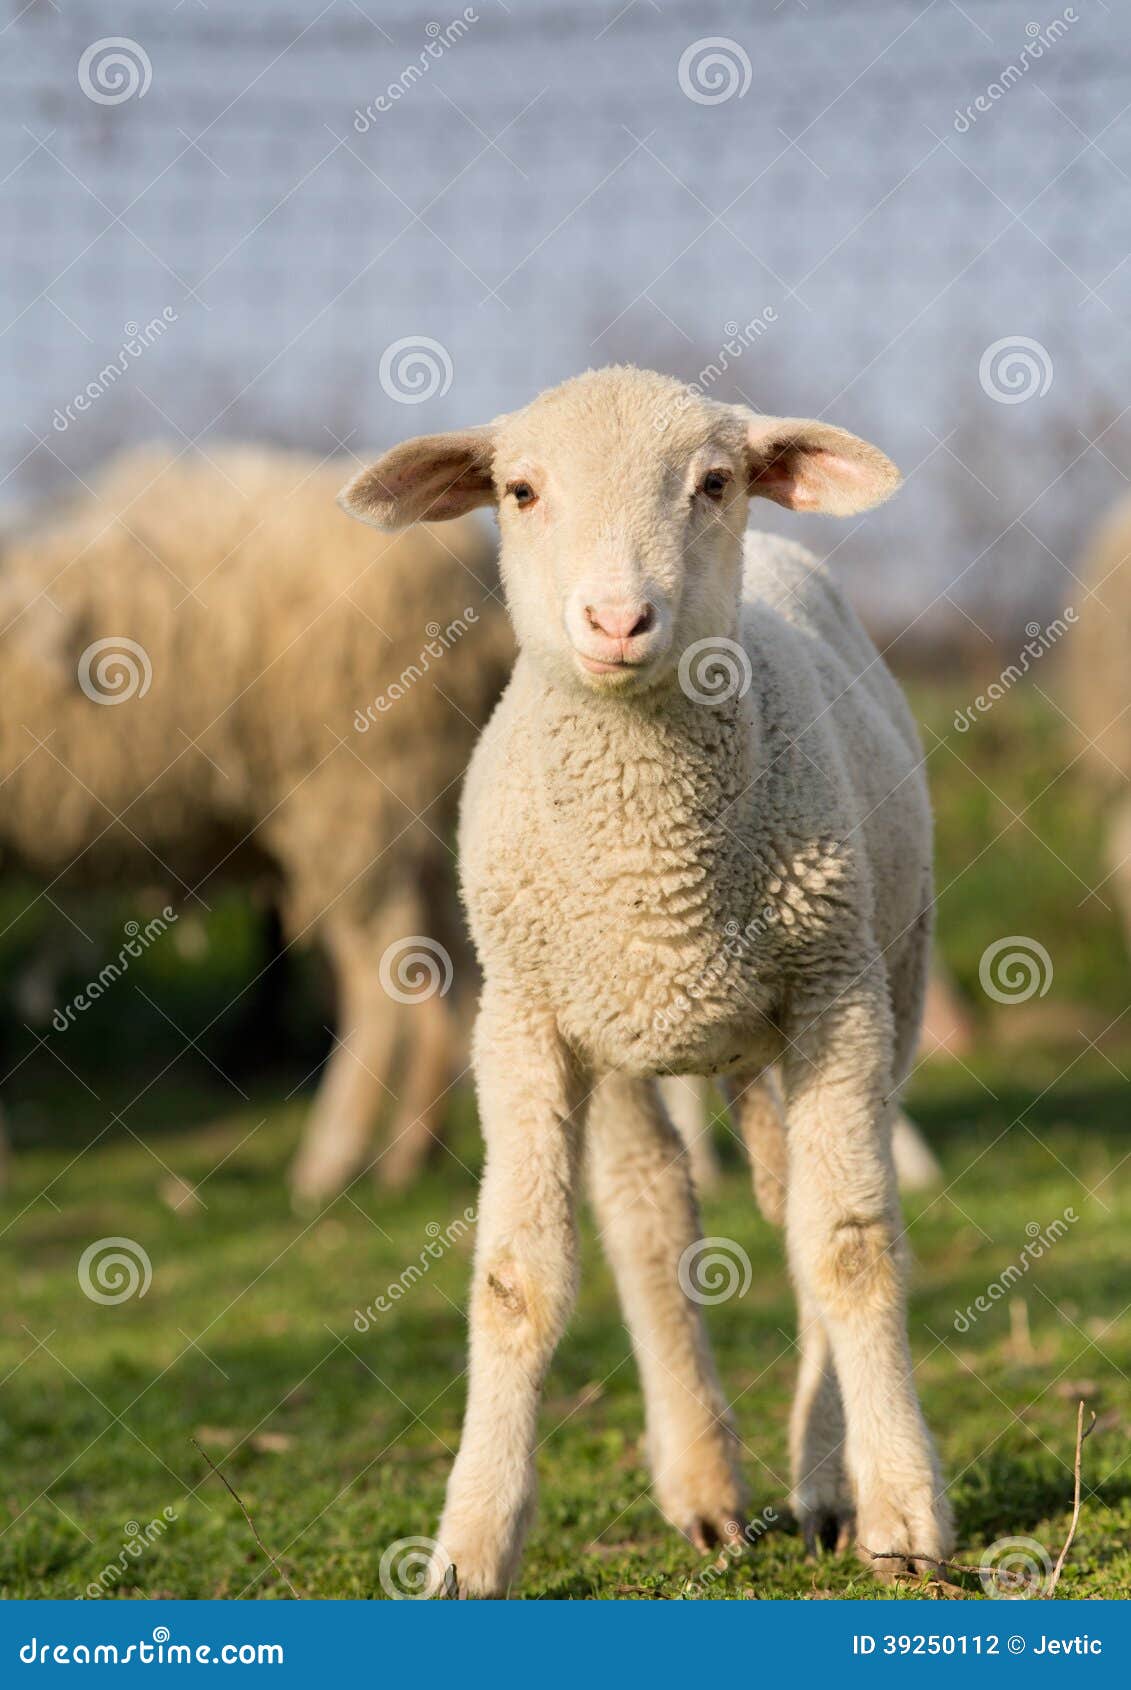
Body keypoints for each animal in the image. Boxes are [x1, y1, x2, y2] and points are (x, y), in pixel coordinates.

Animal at [0, 445, 512, 1204]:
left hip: (350, 795)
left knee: (380, 983)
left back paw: (330, 1159)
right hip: (413, 804)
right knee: (448, 967)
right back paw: (412, 1153)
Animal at [341, 364, 953, 1597]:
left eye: (714, 483)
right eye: (520, 491)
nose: (618, 620)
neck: (652, 863)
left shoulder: (835, 991)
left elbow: (847, 1247)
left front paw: (904, 1511)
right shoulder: (523, 1020)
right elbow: (521, 1278)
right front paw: (469, 1546)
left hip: (879, 982)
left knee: (801, 1210)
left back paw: (825, 1478)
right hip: (621, 1035)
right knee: (650, 1218)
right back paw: (705, 1485)